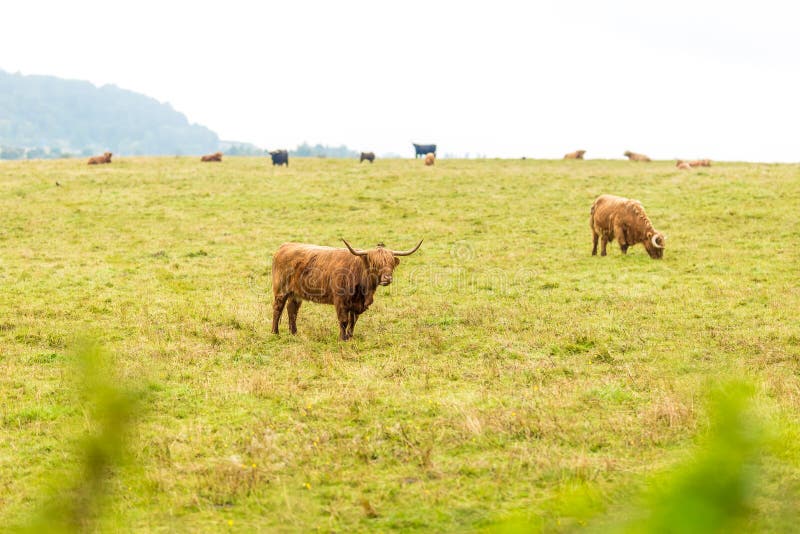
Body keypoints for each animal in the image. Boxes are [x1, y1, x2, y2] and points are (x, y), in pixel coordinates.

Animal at [271, 239, 423, 340]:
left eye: (391, 263)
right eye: (375, 264)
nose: (387, 278)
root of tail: (285, 246)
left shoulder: (357, 304)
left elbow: (353, 321)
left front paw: (350, 337)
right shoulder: (340, 301)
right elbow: (343, 320)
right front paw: (342, 338)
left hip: (296, 294)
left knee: (292, 310)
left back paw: (294, 333)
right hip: (281, 290)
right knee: (278, 309)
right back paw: (275, 332)